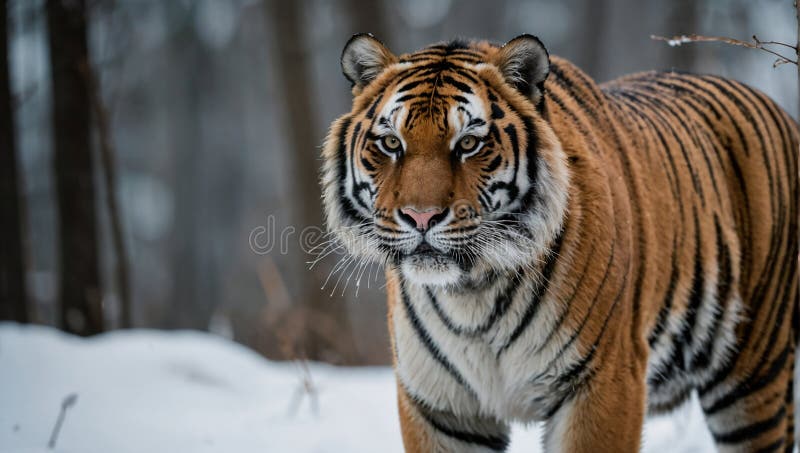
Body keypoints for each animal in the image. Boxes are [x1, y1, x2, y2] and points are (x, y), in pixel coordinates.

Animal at [320, 33, 799, 452]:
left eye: (469, 143)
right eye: (390, 143)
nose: (421, 217)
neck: (472, 293)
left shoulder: (603, 383)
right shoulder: (440, 407)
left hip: (756, 375)